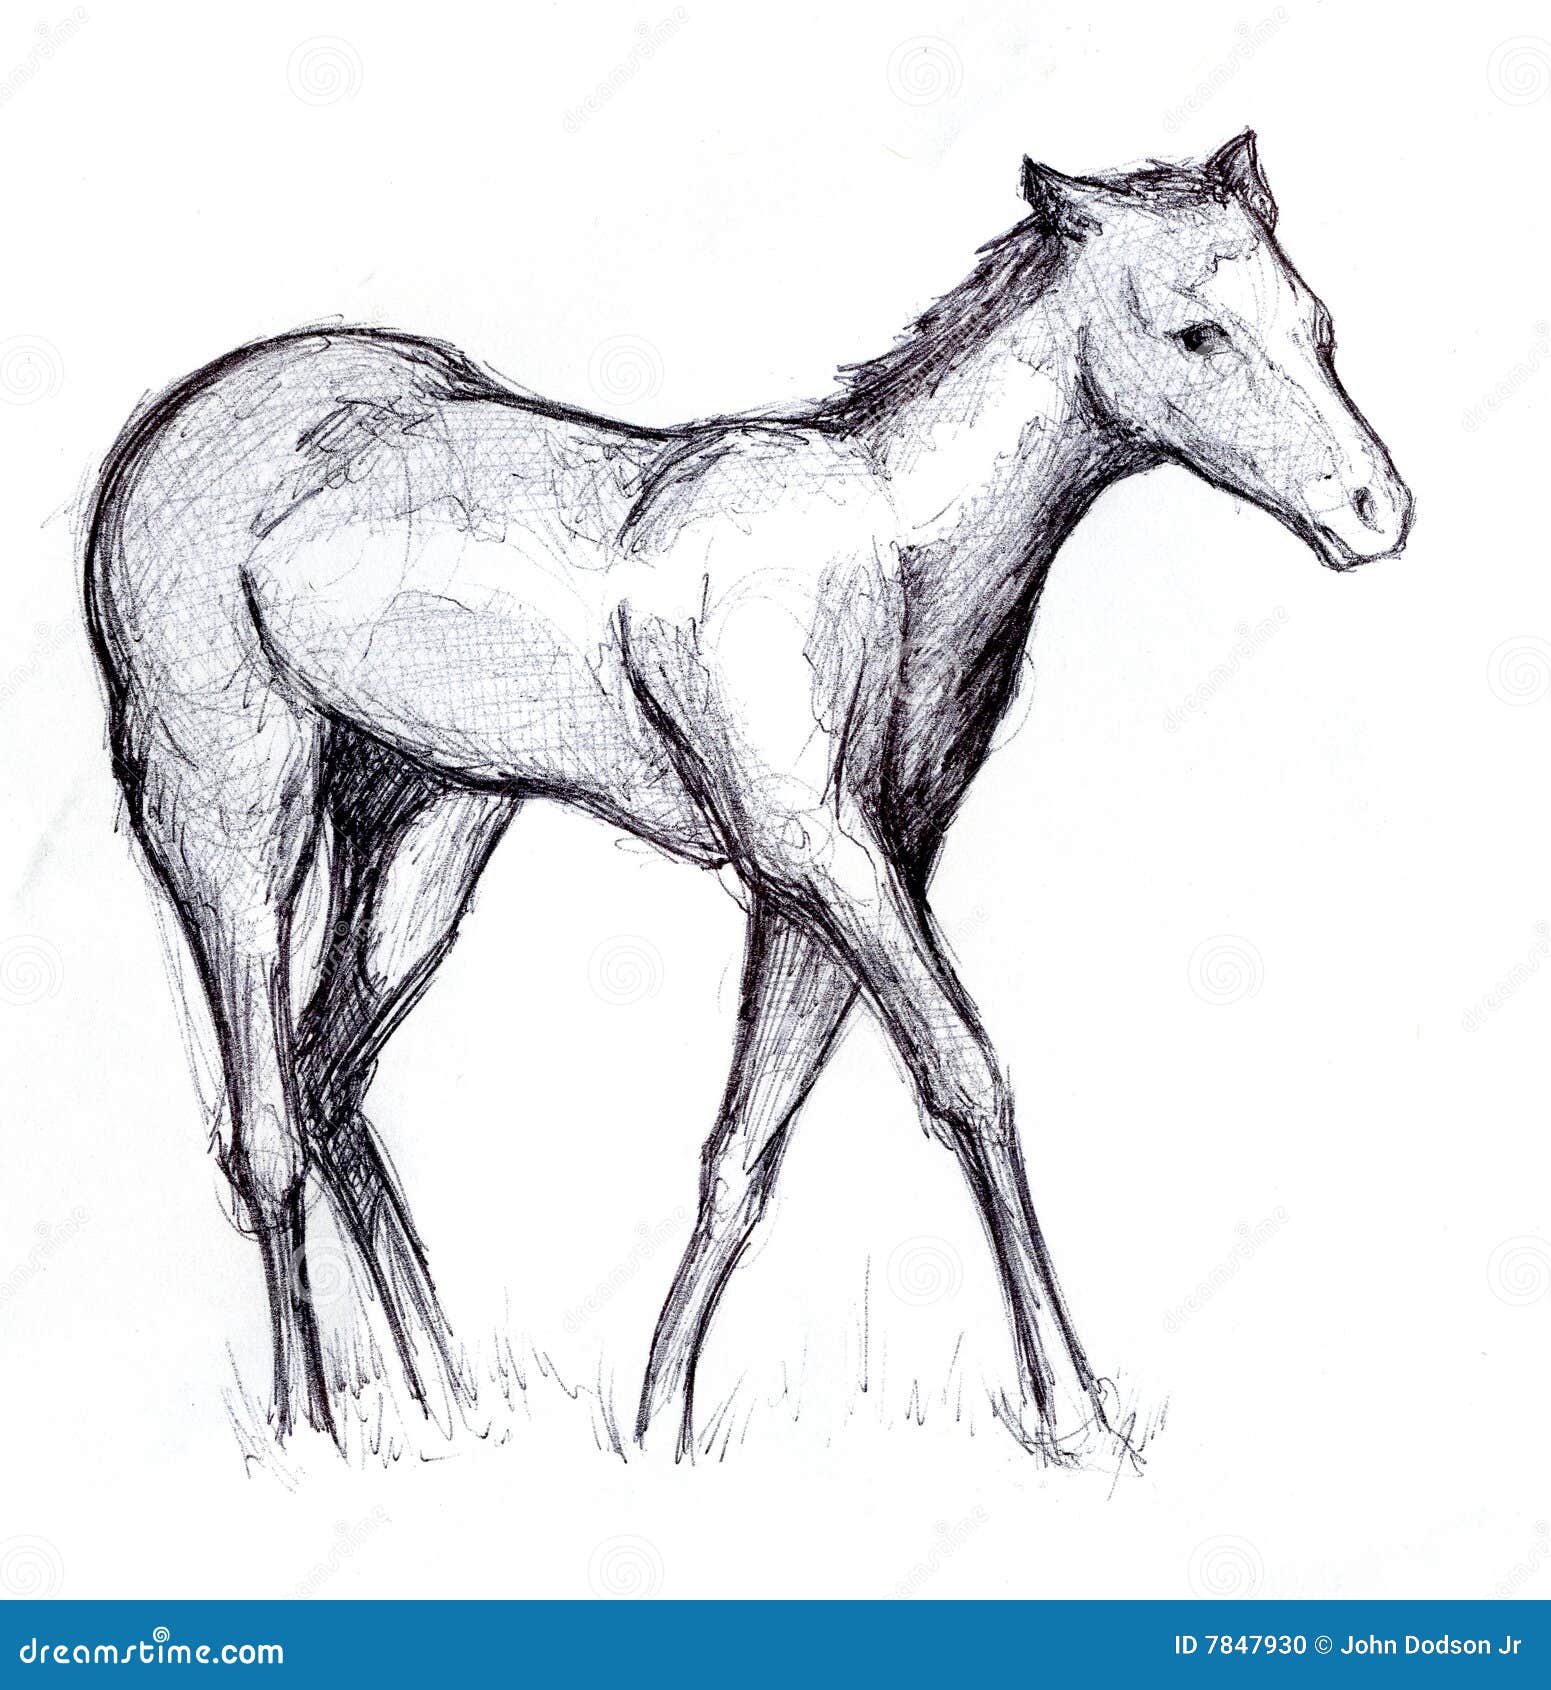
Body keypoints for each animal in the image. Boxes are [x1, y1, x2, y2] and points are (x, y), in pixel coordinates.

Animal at [83, 132, 1412, 1464]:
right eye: (1197, 332)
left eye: (1317, 323)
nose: (1377, 512)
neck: (889, 544)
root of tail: (179, 424)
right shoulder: (823, 856)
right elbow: (967, 1075)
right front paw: (1079, 1415)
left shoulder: (828, 886)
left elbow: (743, 1153)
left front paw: (657, 1426)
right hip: (232, 831)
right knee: (264, 1130)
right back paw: (307, 1424)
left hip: (427, 833)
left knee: (327, 1081)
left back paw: (454, 1401)